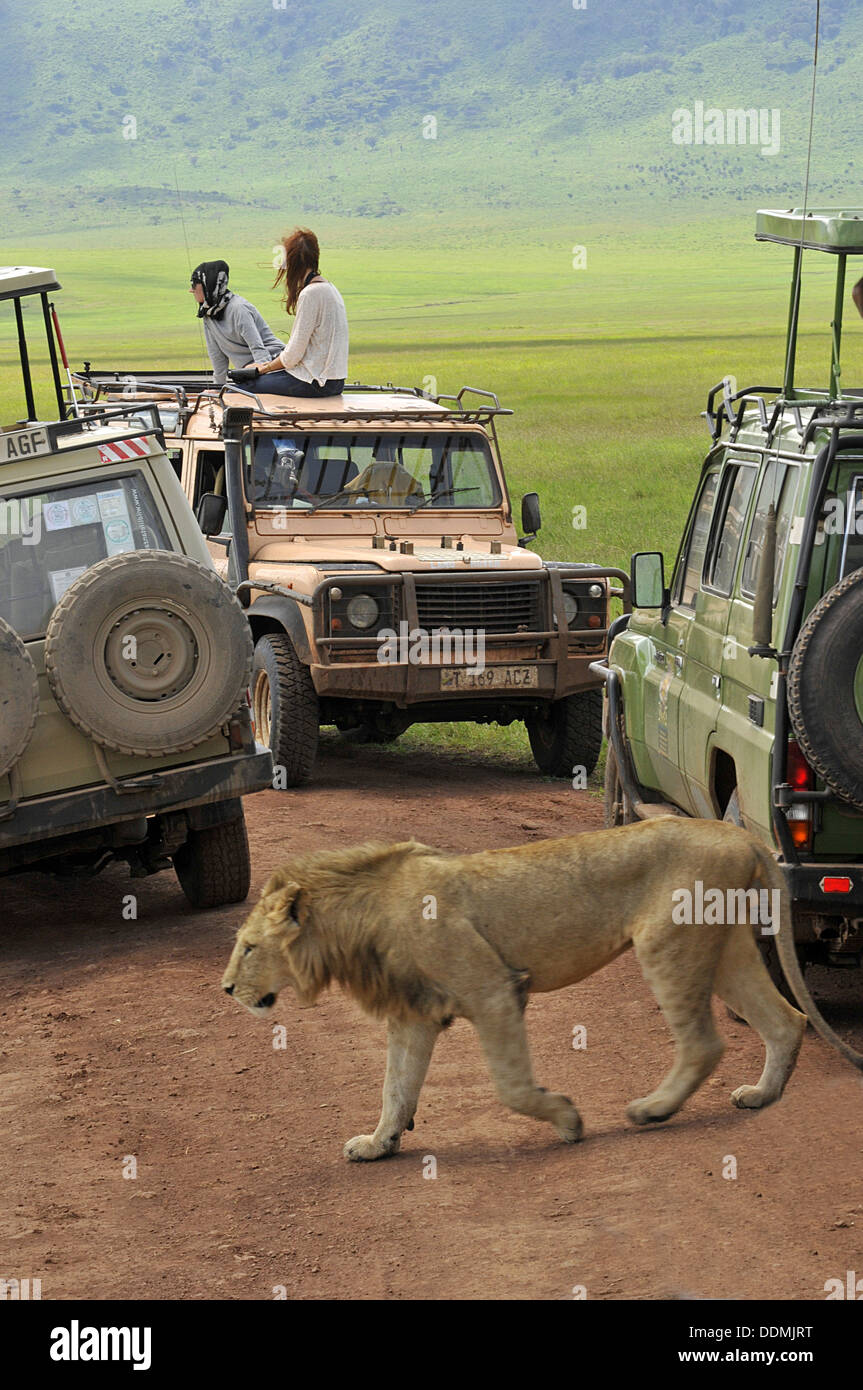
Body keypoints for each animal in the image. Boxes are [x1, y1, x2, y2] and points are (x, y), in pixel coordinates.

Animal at [218, 811, 806, 1162]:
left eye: (248, 948)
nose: (225, 990)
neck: (357, 918)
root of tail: (741, 834)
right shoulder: (414, 1014)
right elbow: (396, 1086)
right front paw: (378, 1142)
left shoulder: (494, 991)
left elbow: (510, 1086)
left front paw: (568, 1120)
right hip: (725, 949)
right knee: (787, 1021)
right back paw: (762, 1096)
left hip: (667, 944)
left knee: (704, 1042)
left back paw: (653, 1110)